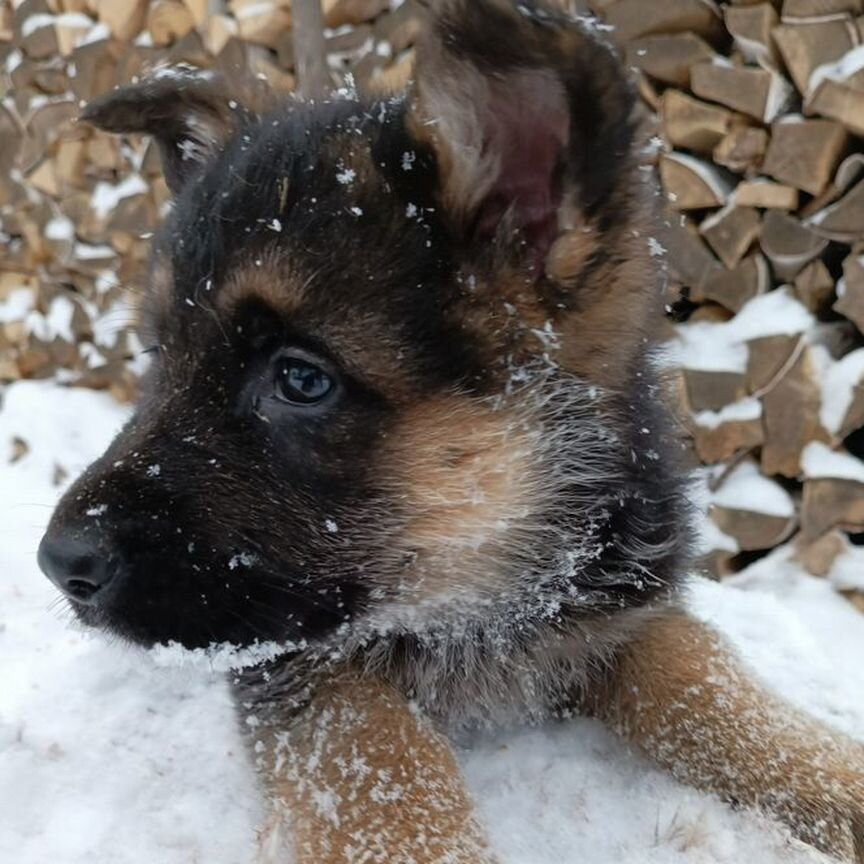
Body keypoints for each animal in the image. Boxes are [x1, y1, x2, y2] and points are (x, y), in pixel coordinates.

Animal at [37, 3, 864, 860]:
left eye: (301, 378)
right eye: (159, 355)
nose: (57, 563)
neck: (482, 598)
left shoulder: (626, 610)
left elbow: (720, 694)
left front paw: (838, 781)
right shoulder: (307, 667)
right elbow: (388, 769)